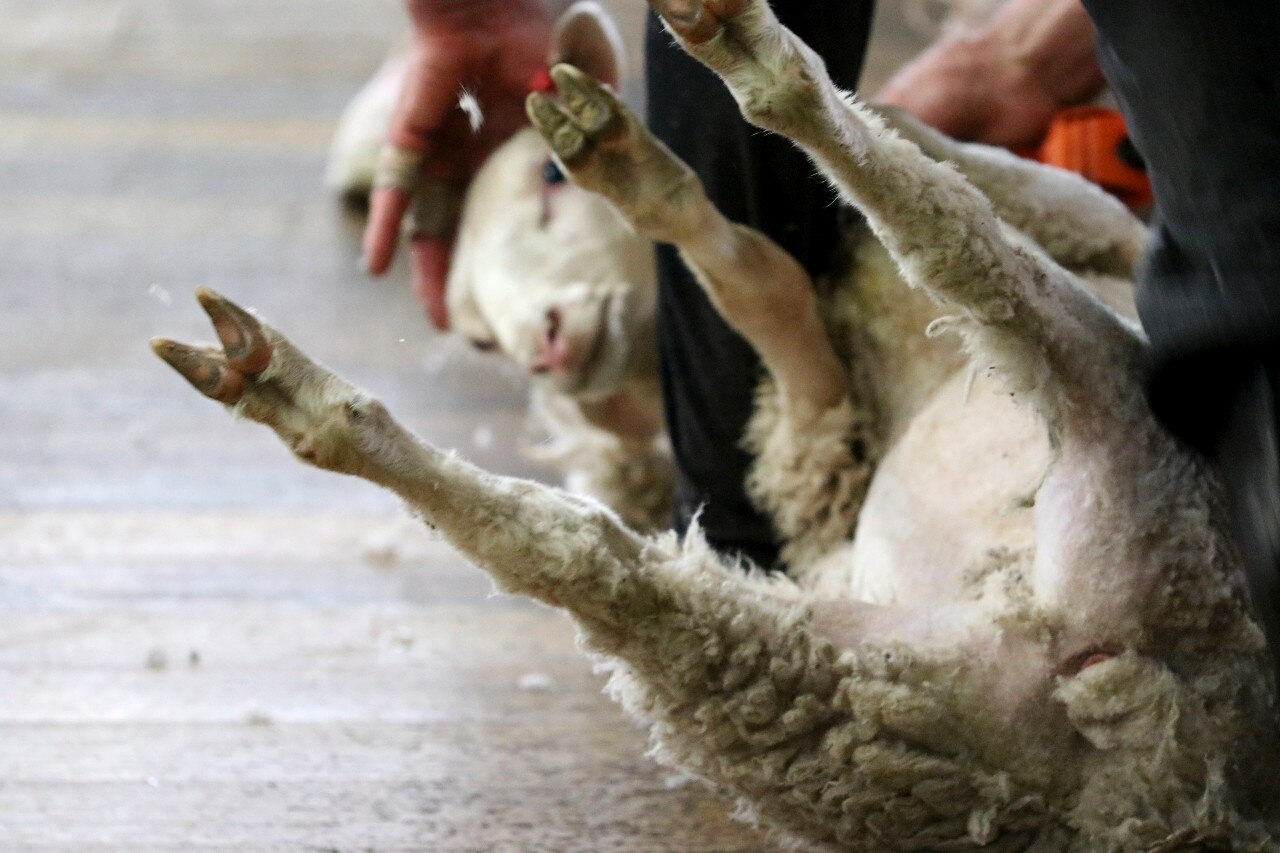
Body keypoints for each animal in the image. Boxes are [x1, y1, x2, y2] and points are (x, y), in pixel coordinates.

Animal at [152, 0, 1280, 847]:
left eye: (543, 193)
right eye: (475, 334)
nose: (546, 347)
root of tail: (1146, 766)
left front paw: (622, 169)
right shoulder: (821, 438)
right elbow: (788, 274)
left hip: (788, 688)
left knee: (581, 557)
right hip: (1112, 424)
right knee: (951, 238)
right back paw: (755, 69)